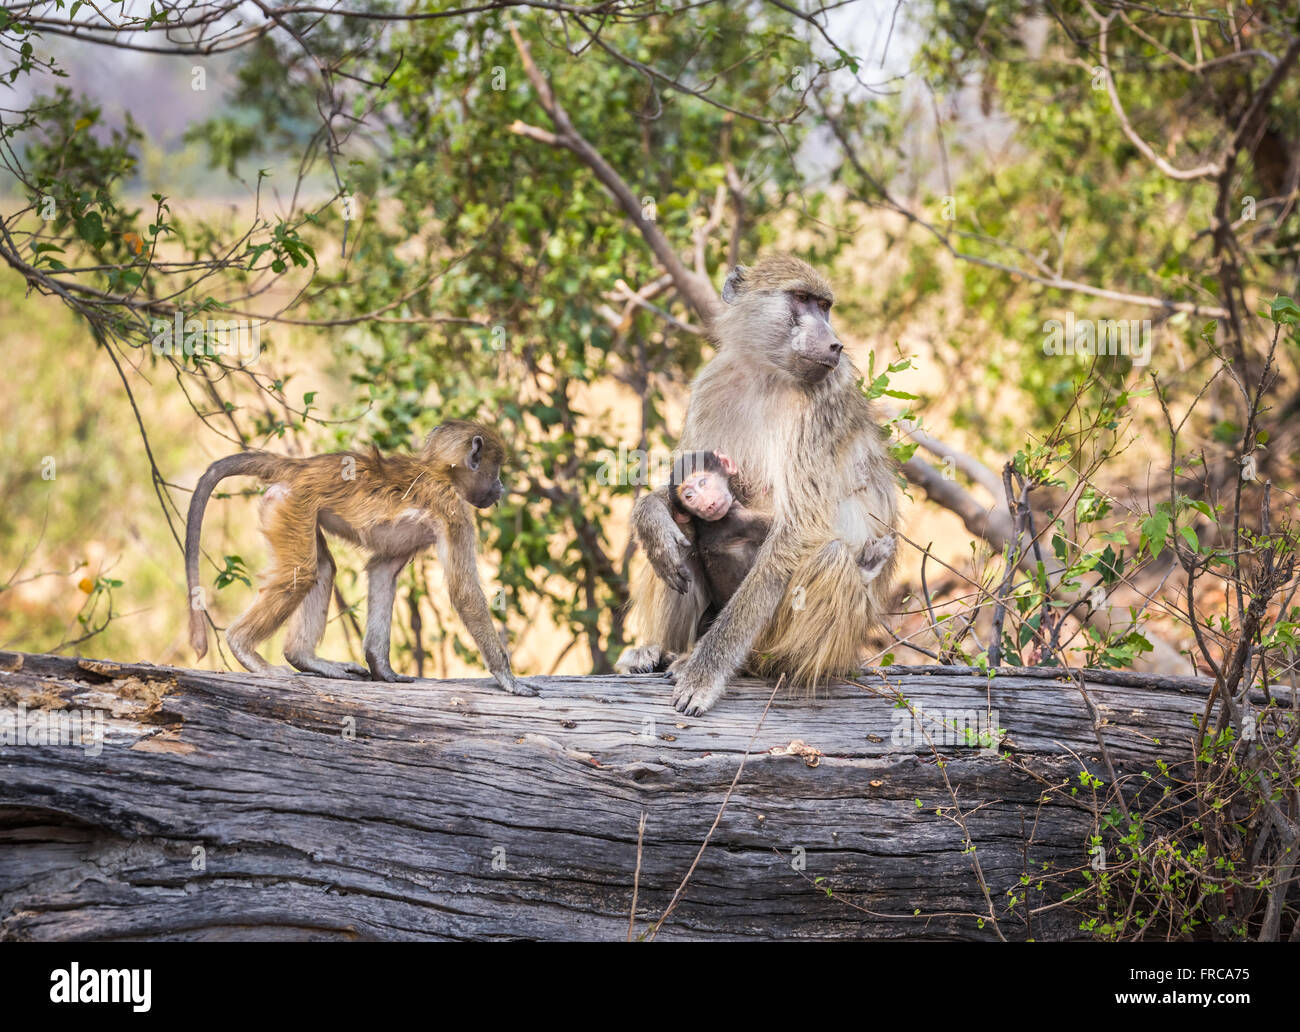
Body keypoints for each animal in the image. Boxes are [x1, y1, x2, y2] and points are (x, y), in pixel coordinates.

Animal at [185, 419, 536, 696]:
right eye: (496, 469)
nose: (500, 487)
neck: (439, 472)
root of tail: (301, 466)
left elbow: (382, 571)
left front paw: (384, 670)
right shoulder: (454, 511)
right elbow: (463, 591)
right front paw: (508, 679)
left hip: (291, 507)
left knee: (322, 568)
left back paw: (303, 658)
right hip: (292, 503)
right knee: (301, 571)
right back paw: (244, 648)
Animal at [616, 254, 899, 715]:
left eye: (825, 306)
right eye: (801, 299)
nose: (835, 345)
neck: (768, 373)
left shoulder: (825, 402)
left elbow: (798, 527)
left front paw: (705, 673)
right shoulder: (711, 384)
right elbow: (676, 498)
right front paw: (650, 518)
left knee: (832, 557)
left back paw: (755, 662)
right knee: (680, 539)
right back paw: (659, 649)